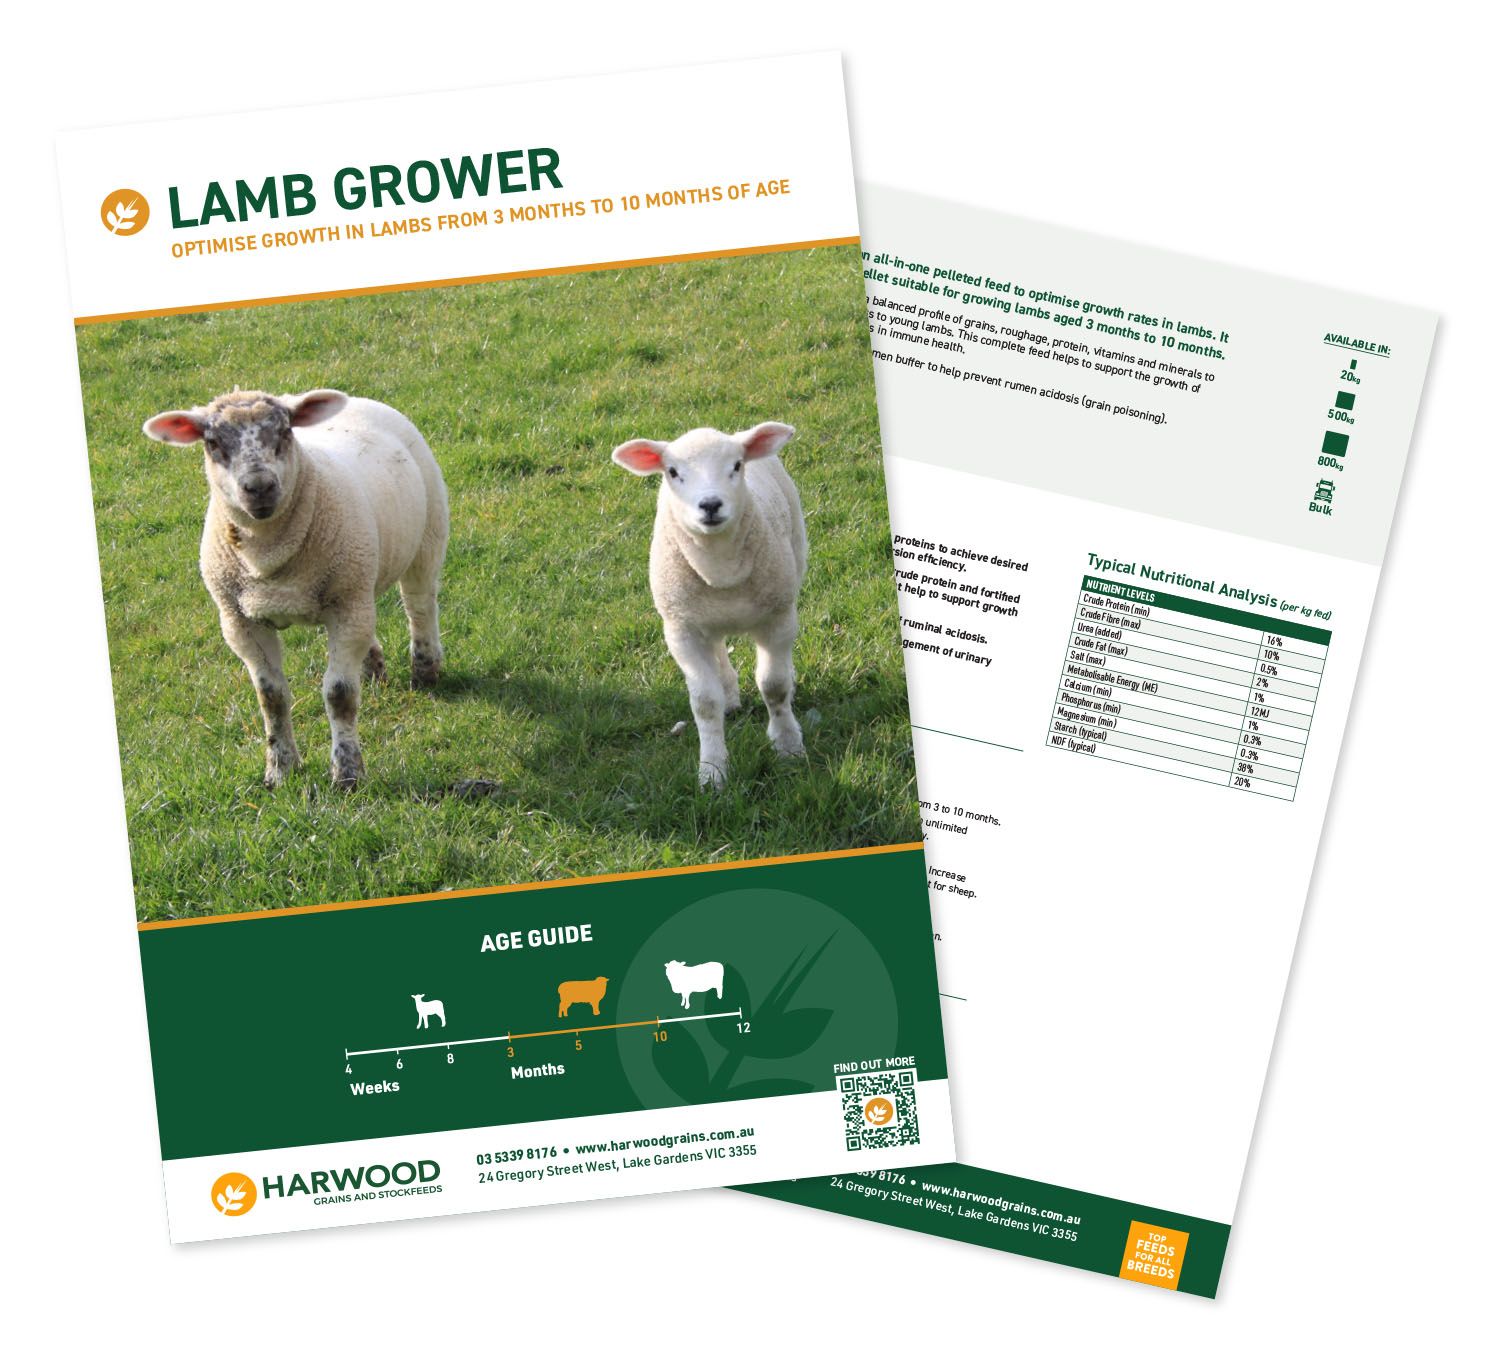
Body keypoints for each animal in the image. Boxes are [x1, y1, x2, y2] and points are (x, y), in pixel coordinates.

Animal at [142, 389, 449, 790]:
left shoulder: (344, 606)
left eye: (285, 431)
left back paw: (425, 669)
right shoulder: (241, 622)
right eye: (212, 443)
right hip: (356, 581)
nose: (259, 487)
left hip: (427, 536)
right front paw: (280, 770)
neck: (268, 557)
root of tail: (359, 398)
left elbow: (339, 694)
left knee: (420, 605)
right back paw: (372, 668)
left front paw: (347, 774)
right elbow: (271, 697)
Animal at [612, 423, 806, 788]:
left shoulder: (778, 616)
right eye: (672, 472)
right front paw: (713, 771)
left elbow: (773, 687)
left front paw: (788, 746)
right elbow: (704, 703)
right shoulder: (681, 631)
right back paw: (729, 695)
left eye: (737, 465)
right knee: (717, 648)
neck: (721, 572)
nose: (711, 504)